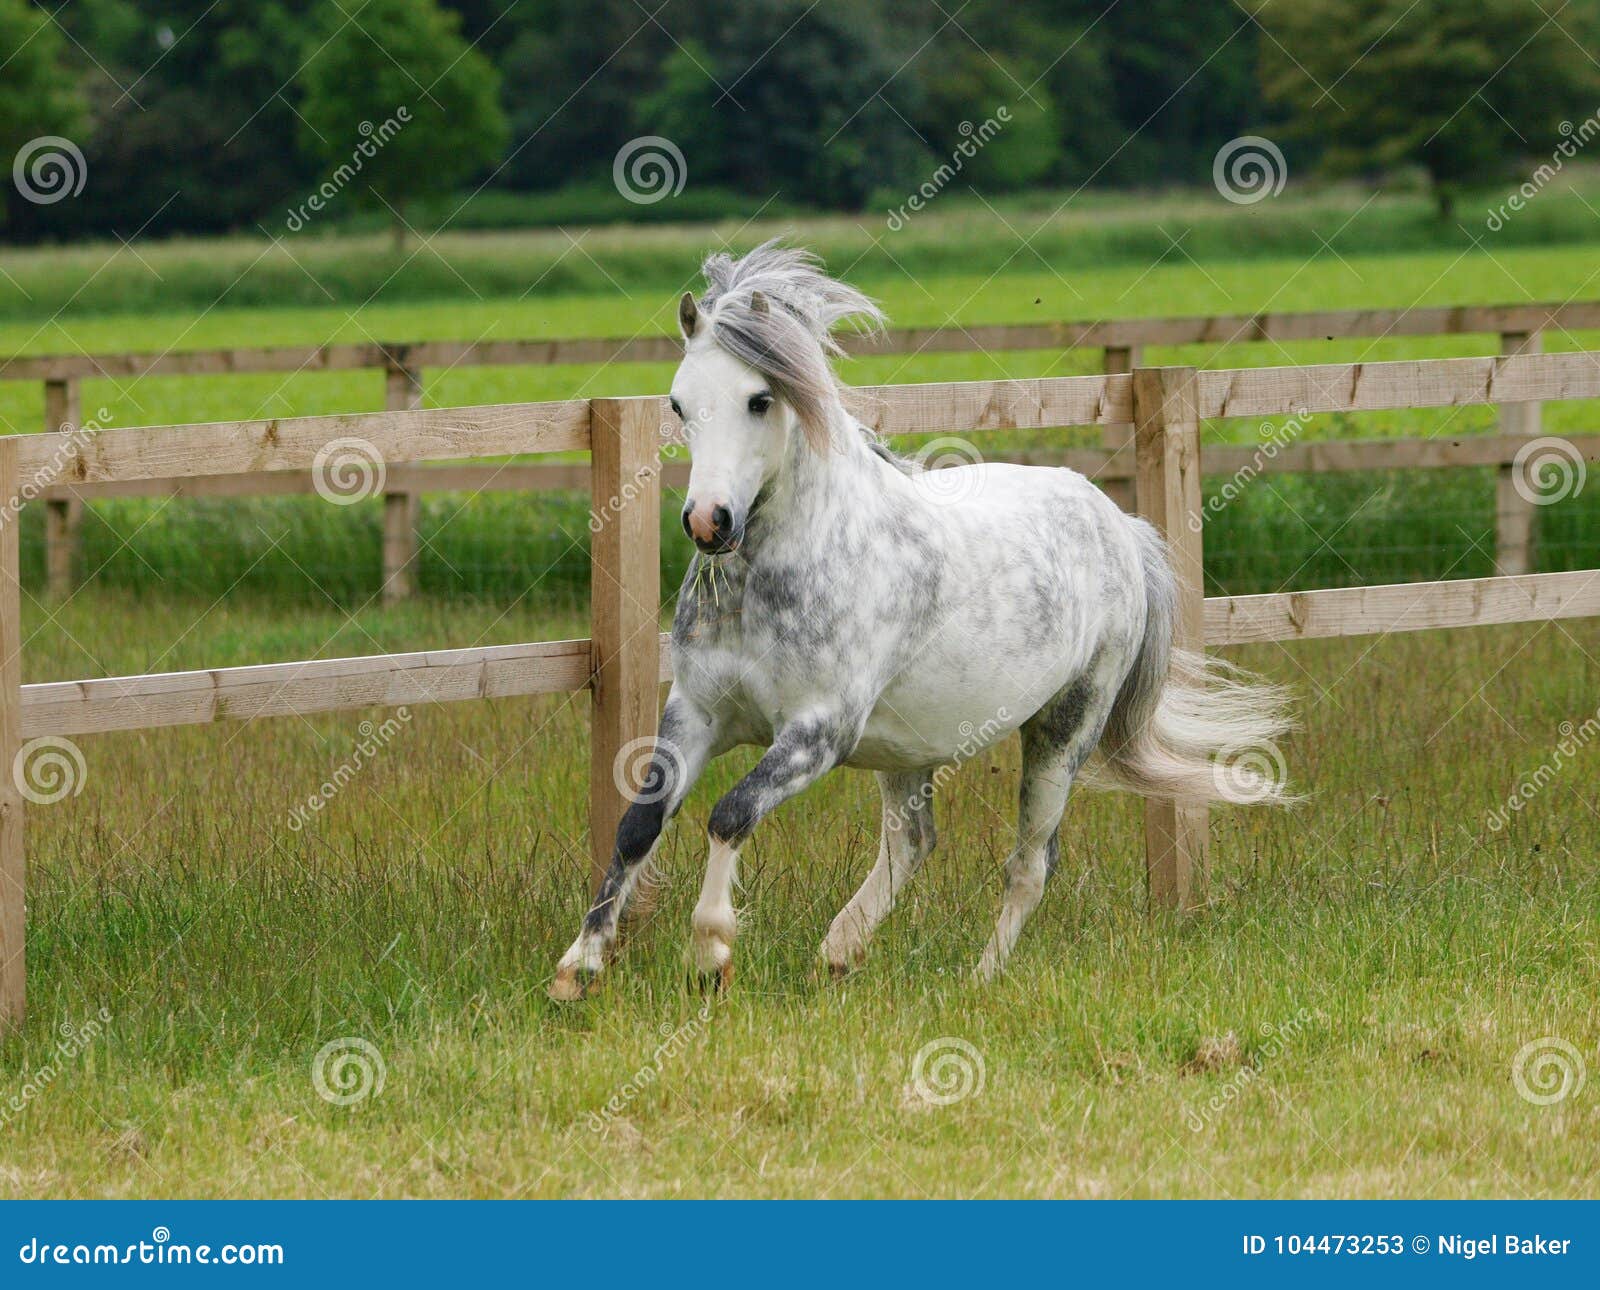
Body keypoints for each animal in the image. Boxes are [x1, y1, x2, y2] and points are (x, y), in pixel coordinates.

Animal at [549, 241, 1291, 999]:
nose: (708, 523)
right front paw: (578, 967)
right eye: (677, 403)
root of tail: (1121, 525)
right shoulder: (696, 713)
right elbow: (638, 824)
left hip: (1065, 727)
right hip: (905, 747)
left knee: (1031, 862)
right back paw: (840, 950)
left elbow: (730, 814)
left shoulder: (818, 731)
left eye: (759, 399)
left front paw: (711, 953)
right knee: (914, 842)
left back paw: (979, 977)